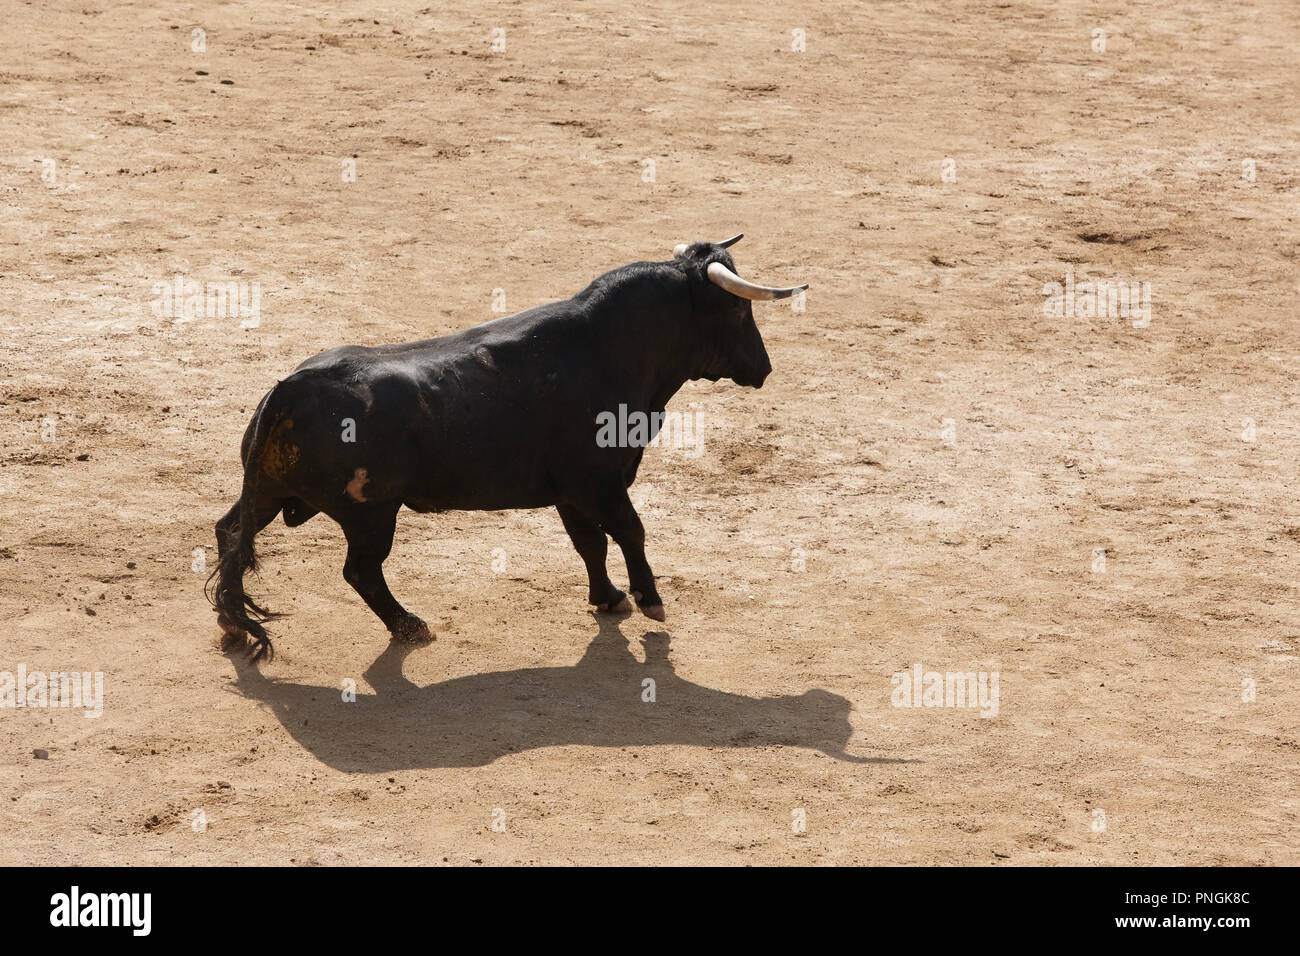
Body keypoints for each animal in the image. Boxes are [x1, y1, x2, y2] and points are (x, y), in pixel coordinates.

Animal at [208, 235, 807, 662]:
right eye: (737, 311)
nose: (763, 367)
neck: (610, 347)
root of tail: (291, 387)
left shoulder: (570, 492)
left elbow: (588, 543)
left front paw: (609, 597)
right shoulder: (599, 482)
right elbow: (629, 531)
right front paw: (649, 600)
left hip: (269, 493)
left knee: (231, 531)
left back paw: (230, 624)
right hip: (371, 514)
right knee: (361, 570)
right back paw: (411, 626)